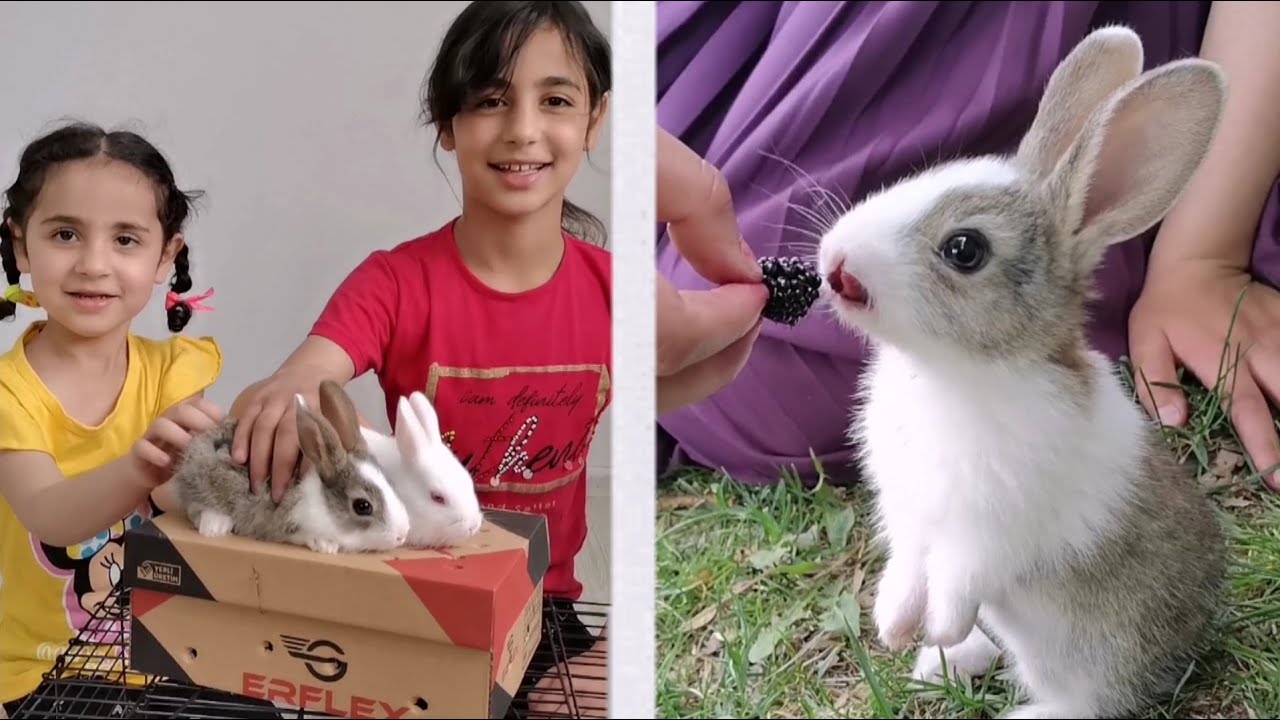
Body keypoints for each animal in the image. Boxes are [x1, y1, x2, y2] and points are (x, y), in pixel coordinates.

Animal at [172, 380, 412, 555]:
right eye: (363, 506)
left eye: (391, 483)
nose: (402, 535)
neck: (324, 504)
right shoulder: (287, 522)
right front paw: (326, 545)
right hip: (207, 480)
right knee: (195, 506)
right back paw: (214, 527)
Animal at [814, 25, 1230, 720]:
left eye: (965, 250)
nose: (836, 262)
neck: (951, 373)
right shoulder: (910, 513)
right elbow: (908, 563)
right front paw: (895, 624)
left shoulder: (988, 531)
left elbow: (959, 575)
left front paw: (933, 624)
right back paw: (945, 661)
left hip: (1091, 664)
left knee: (1082, 701)